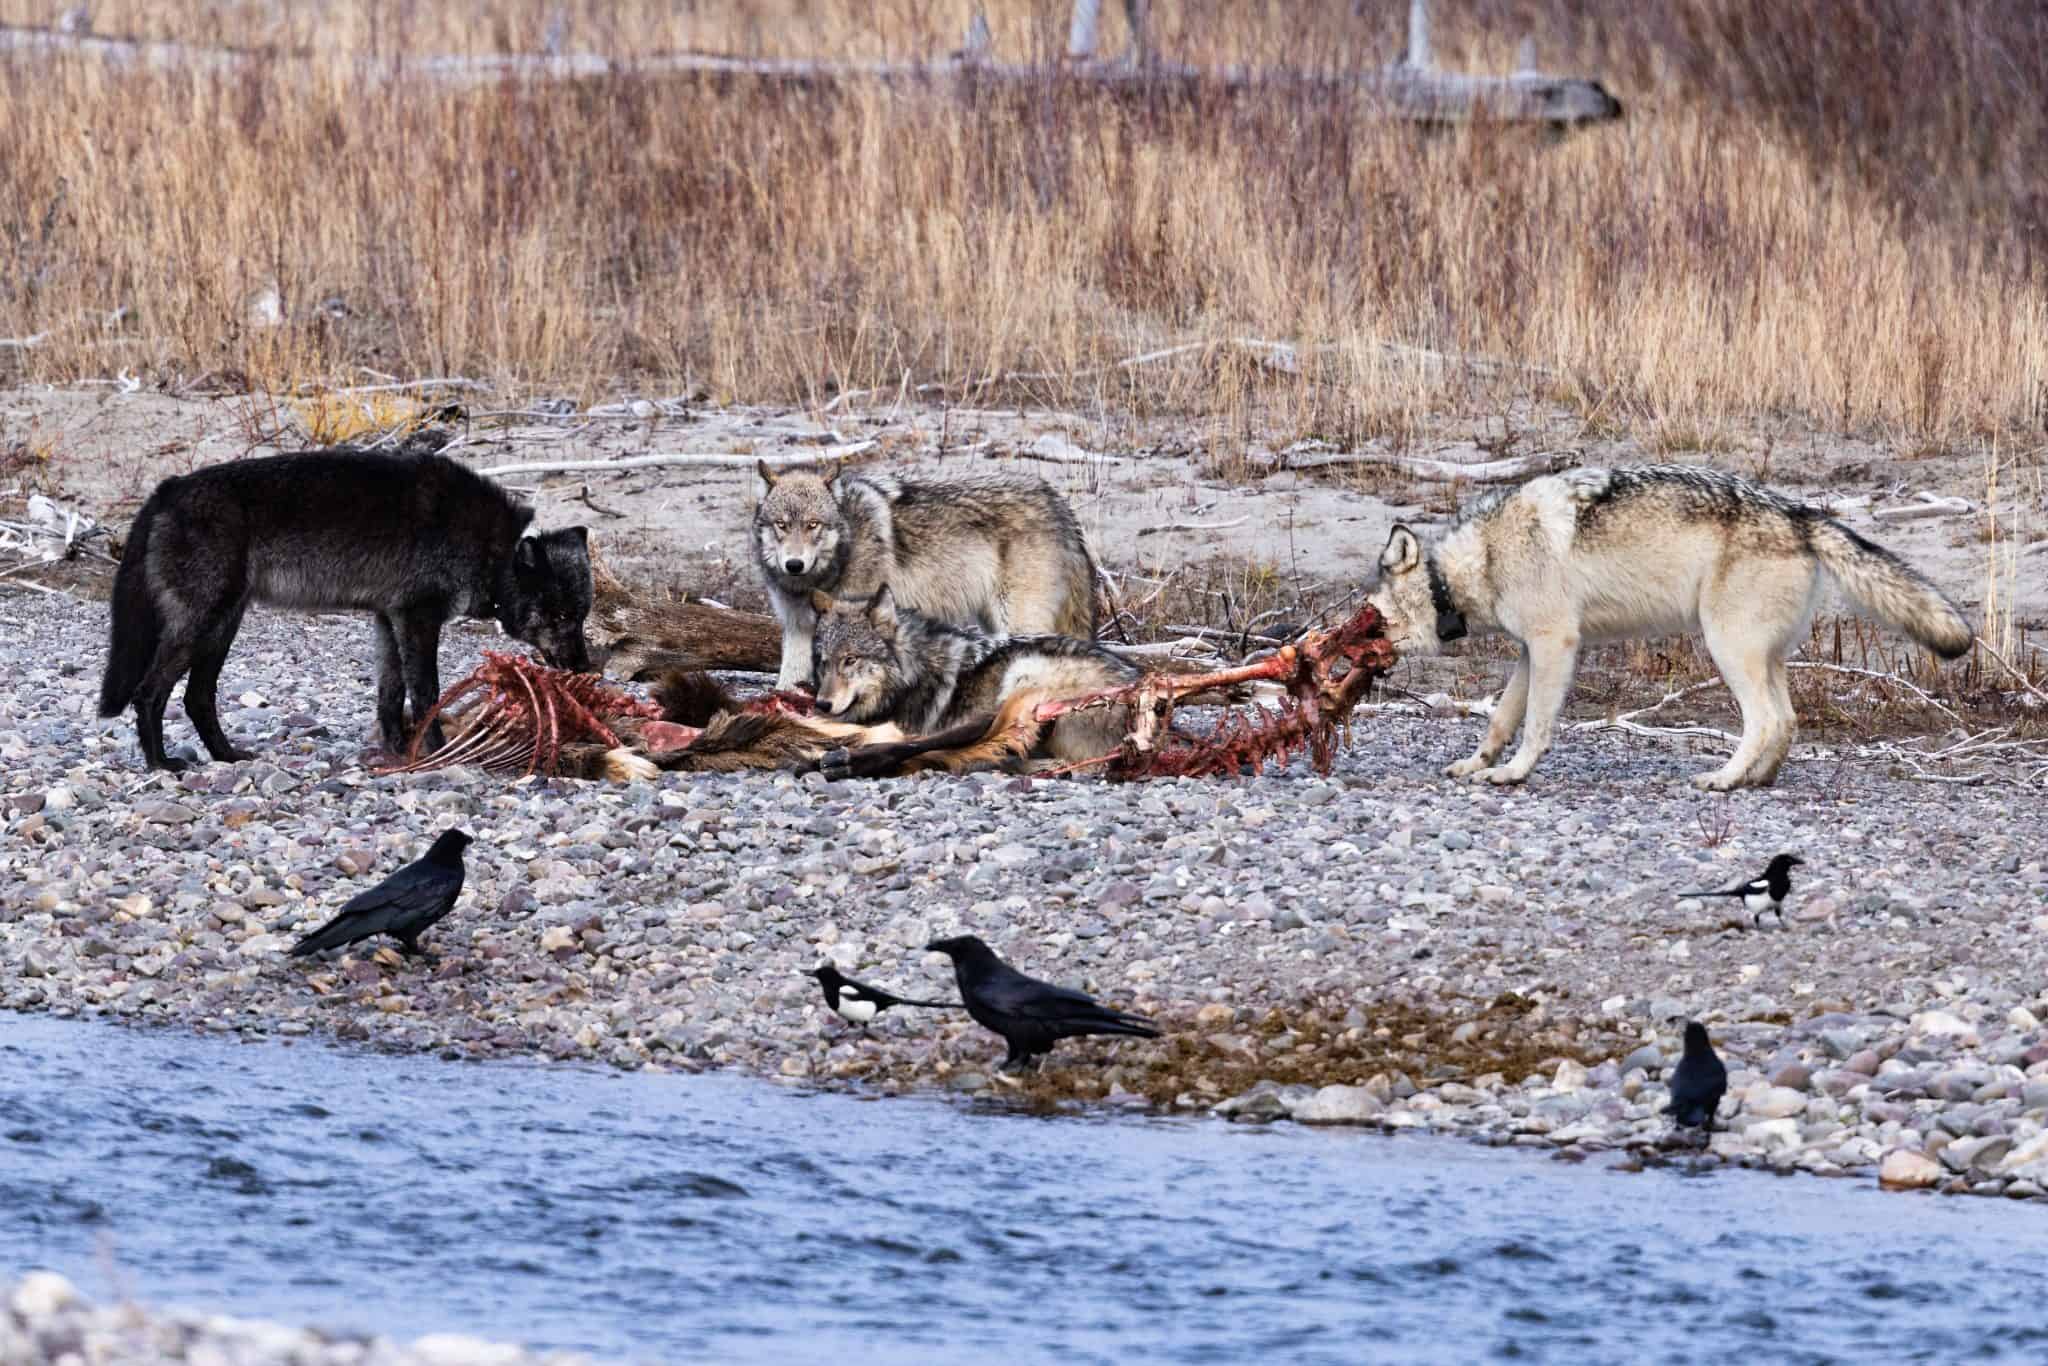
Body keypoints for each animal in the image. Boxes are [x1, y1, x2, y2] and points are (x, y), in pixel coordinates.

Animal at [99, 448, 594, 771]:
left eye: (580, 616)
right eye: (562, 616)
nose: (585, 669)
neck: (494, 550)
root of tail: (170, 487)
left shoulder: (388, 619)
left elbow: (391, 695)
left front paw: (398, 751)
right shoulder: (417, 619)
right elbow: (427, 694)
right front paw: (435, 754)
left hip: (222, 627)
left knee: (197, 697)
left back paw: (227, 757)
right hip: (201, 625)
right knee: (149, 693)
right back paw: (161, 764)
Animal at [752, 462, 1097, 690]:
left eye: (813, 525)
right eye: (782, 525)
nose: (794, 564)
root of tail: (1057, 500)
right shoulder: (798, 628)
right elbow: (788, 679)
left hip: (1018, 620)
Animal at [1365, 465, 1973, 791]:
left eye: (1370, 619)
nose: (1347, 656)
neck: (1477, 560)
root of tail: (1802, 515)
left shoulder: (1555, 644)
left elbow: (1535, 725)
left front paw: (1514, 774)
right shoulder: (1528, 652)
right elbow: (1499, 720)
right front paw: (1479, 764)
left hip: (1726, 650)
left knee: (1765, 720)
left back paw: (1725, 780)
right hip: (1762, 657)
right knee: (1787, 721)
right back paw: (1755, 779)